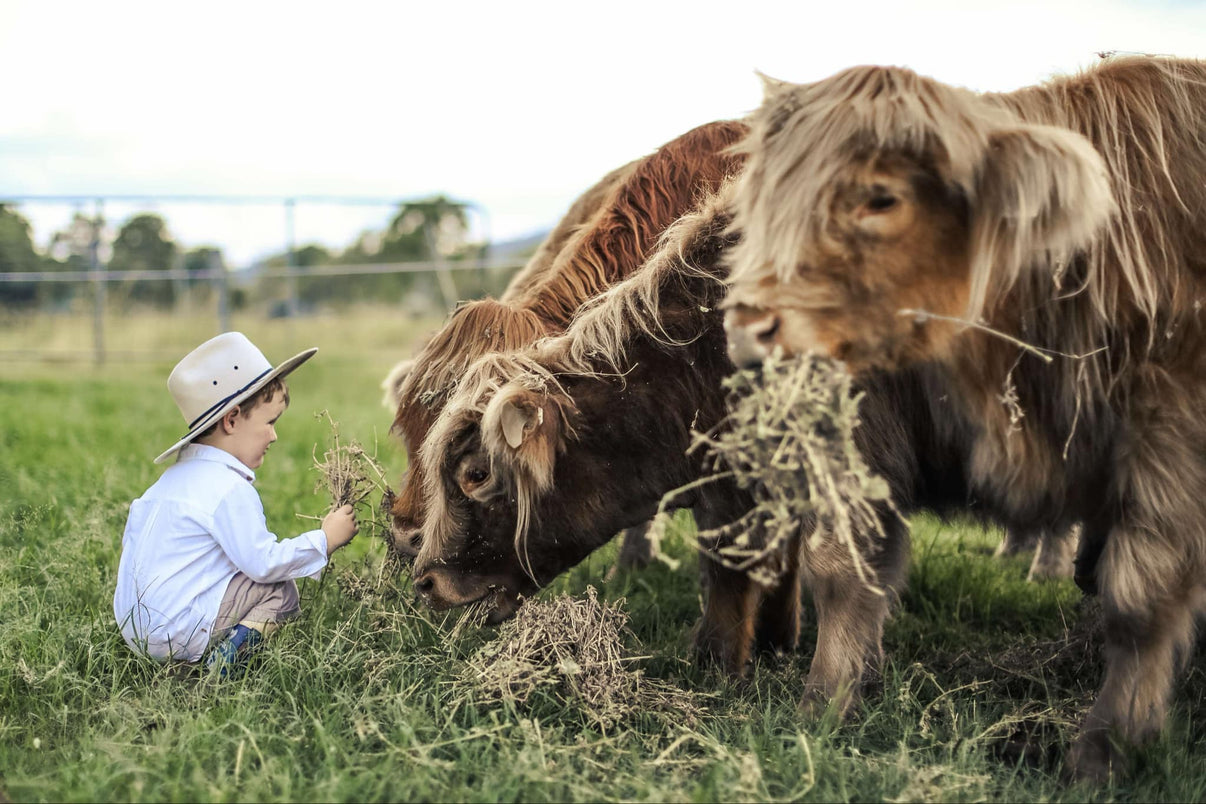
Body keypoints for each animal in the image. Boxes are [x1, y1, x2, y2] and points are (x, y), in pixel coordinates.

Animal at [722, 55, 1206, 781]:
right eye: (767, 201)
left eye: (881, 198)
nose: (748, 321)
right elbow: (840, 568)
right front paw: (826, 703)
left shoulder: (1173, 434)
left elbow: (1142, 598)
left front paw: (1103, 751)